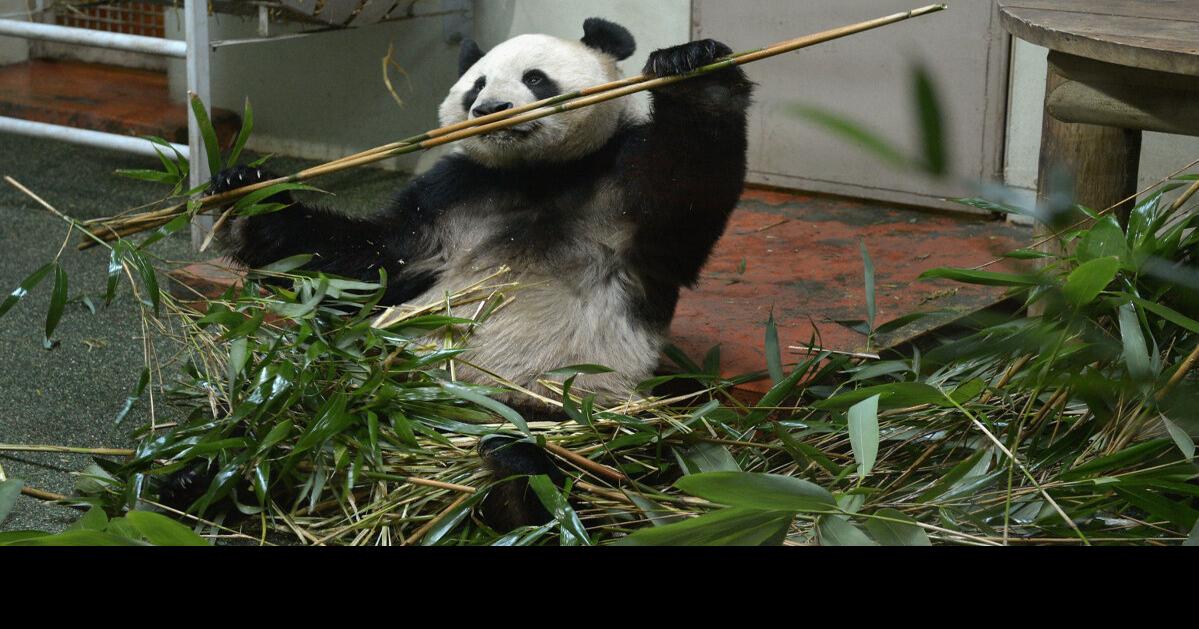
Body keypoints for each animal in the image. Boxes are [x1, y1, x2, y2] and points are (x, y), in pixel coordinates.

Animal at [203, 17, 754, 531]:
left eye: (535, 78)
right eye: (476, 84)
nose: (489, 110)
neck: (536, 174)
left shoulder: (627, 197)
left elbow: (687, 186)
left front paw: (691, 66)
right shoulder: (450, 197)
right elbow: (370, 262)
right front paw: (246, 195)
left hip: (570, 403)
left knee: (569, 463)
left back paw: (518, 483)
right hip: (353, 385)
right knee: (275, 422)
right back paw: (204, 476)